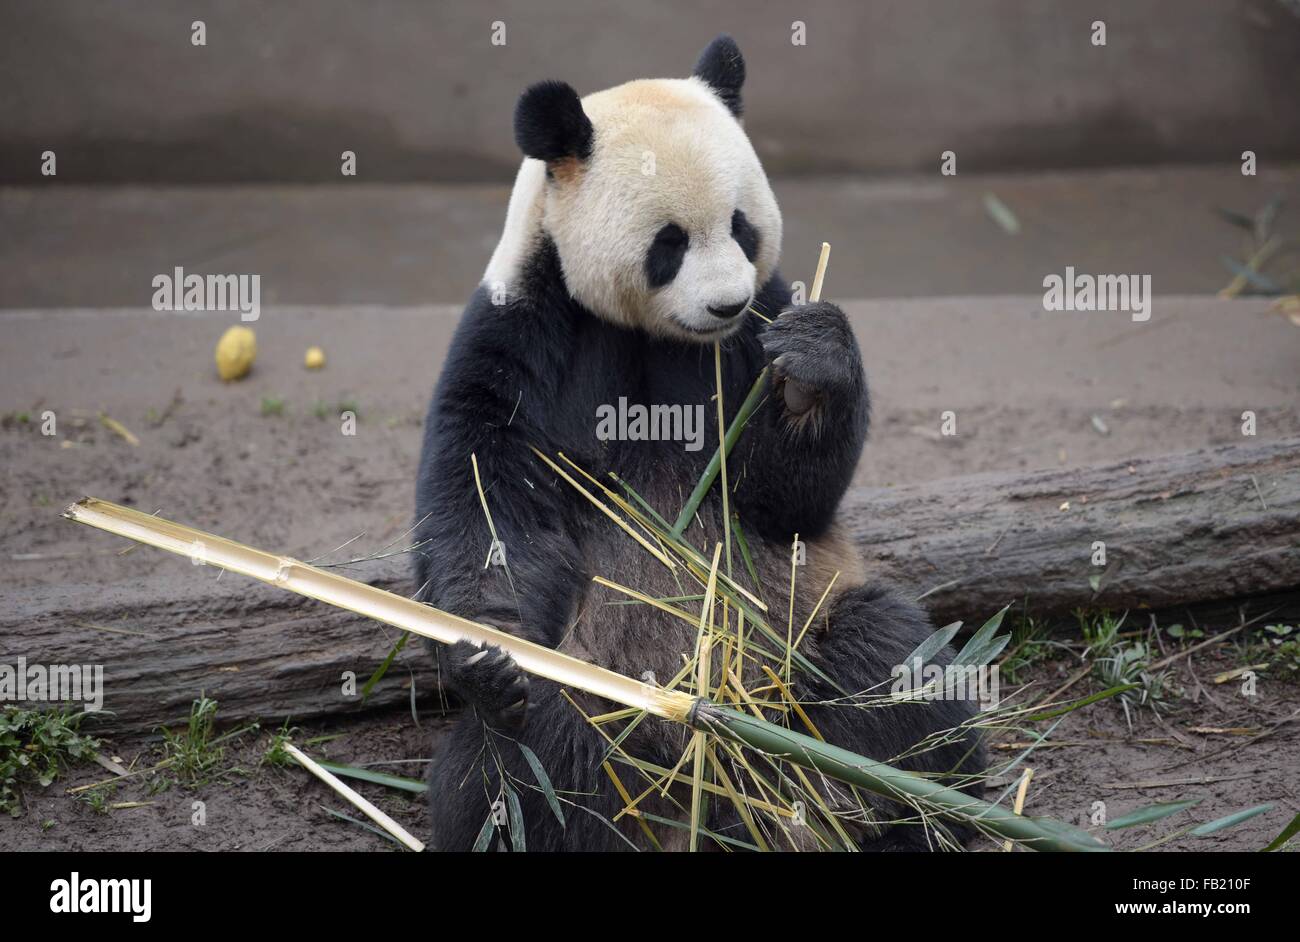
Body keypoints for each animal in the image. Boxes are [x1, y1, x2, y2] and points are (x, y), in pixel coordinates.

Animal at [413, 35, 984, 852]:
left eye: (743, 226)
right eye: (670, 243)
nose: (727, 303)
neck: (659, 335)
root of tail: (701, 758)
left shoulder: (752, 334)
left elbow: (784, 501)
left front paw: (809, 368)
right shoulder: (524, 327)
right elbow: (485, 485)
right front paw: (487, 649)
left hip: (797, 638)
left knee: (893, 671)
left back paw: (902, 805)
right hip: (593, 690)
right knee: (517, 770)